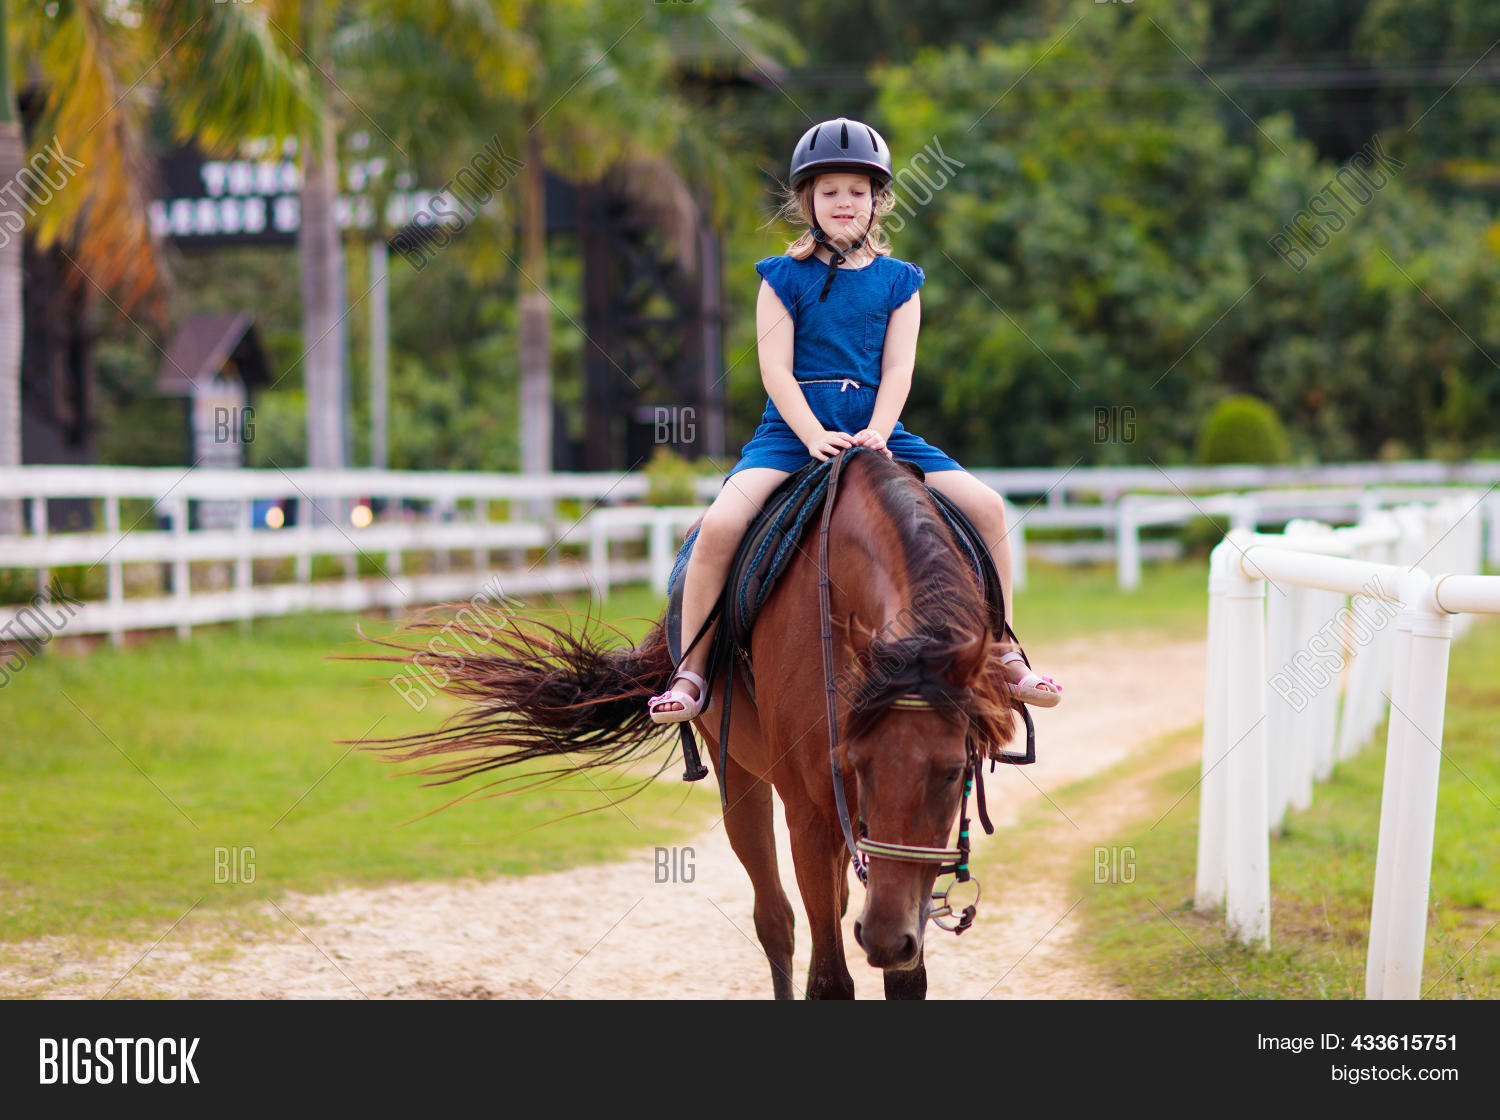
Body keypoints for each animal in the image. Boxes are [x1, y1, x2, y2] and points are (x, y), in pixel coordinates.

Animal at [358, 447, 1019, 999]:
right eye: (853, 761)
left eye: (953, 772)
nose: (883, 937)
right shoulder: (810, 810)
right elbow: (828, 978)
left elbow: (904, 978)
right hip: (743, 782)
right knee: (776, 921)